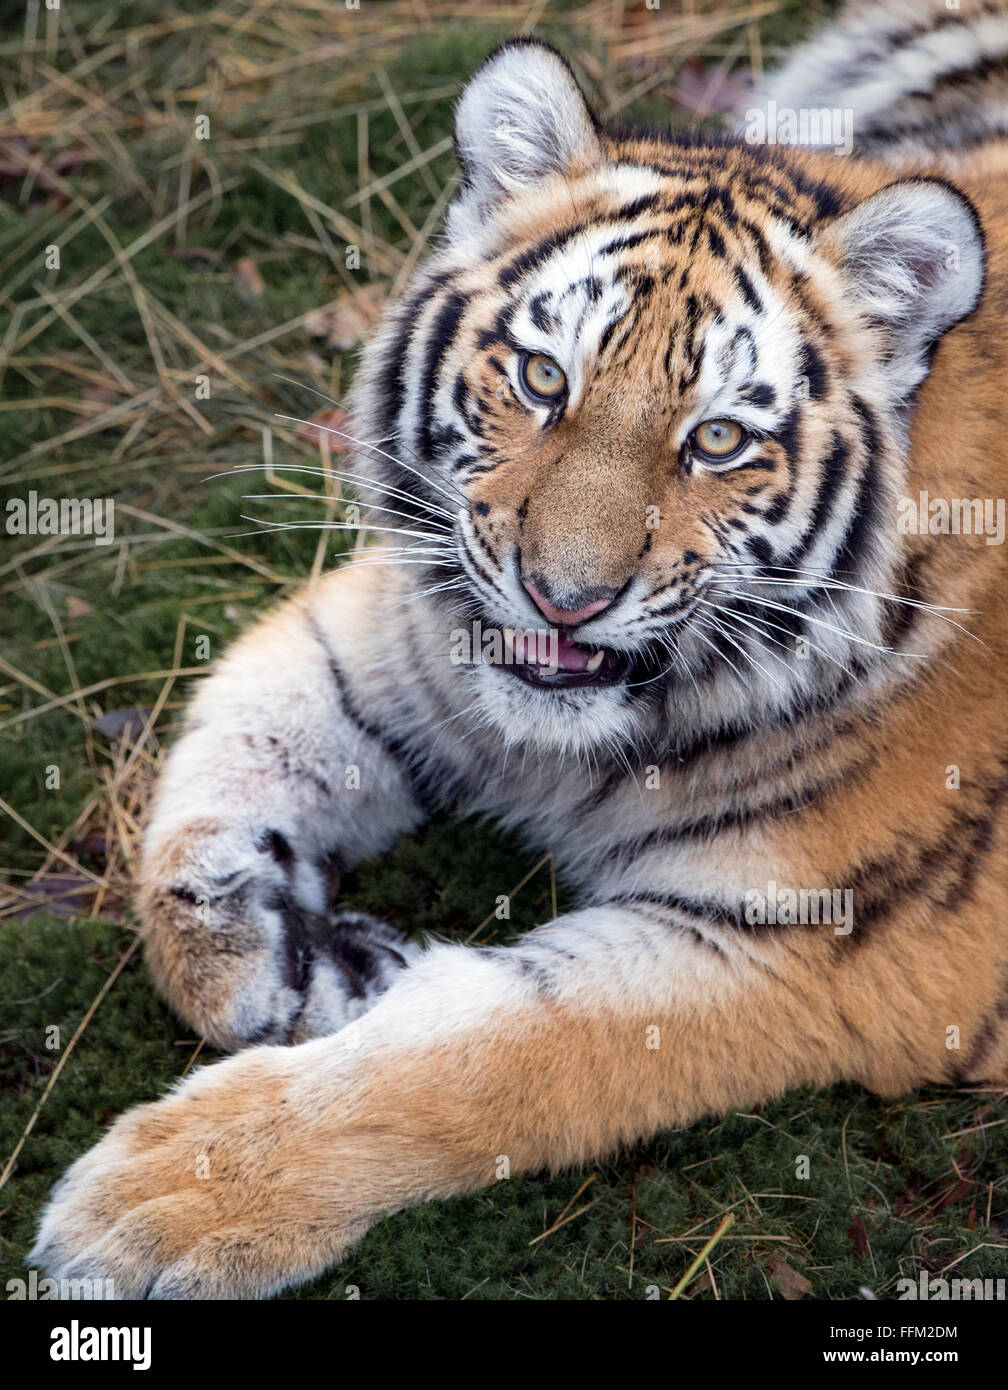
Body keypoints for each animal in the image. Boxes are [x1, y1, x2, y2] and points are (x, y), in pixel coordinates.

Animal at [33, 0, 1008, 1299]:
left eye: (718, 440)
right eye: (545, 377)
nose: (566, 600)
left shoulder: (826, 950)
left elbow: (479, 1055)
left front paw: (163, 1200)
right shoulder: (384, 629)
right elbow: (191, 833)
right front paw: (283, 962)